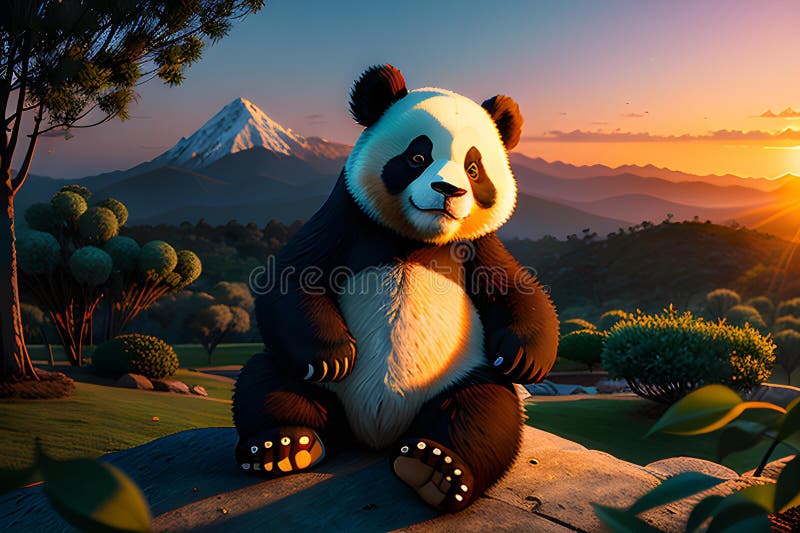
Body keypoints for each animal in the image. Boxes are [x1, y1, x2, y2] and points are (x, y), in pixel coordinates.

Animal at [233, 64, 559, 513]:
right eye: (417, 157)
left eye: (474, 169)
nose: (449, 191)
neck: (416, 239)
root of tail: (376, 434)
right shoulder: (346, 221)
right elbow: (292, 275)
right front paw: (333, 356)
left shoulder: (477, 245)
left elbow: (515, 287)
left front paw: (523, 358)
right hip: (316, 388)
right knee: (267, 382)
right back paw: (282, 446)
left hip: (455, 376)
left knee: (485, 409)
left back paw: (436, 468)